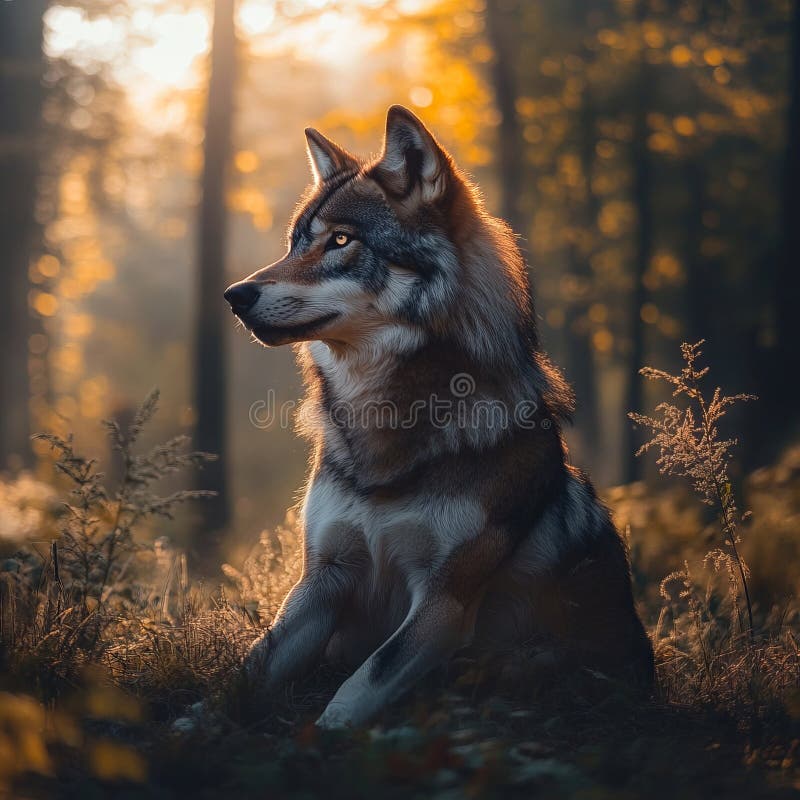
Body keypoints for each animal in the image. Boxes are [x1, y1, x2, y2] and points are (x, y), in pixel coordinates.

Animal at [223, 106, 654, 729]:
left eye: (340, 240)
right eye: (294, 244)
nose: (234, 295)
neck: (385, 420)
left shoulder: (444, 601)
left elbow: (361, 683)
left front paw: (322, 736)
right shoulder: (321, 580)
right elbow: (249, 668)